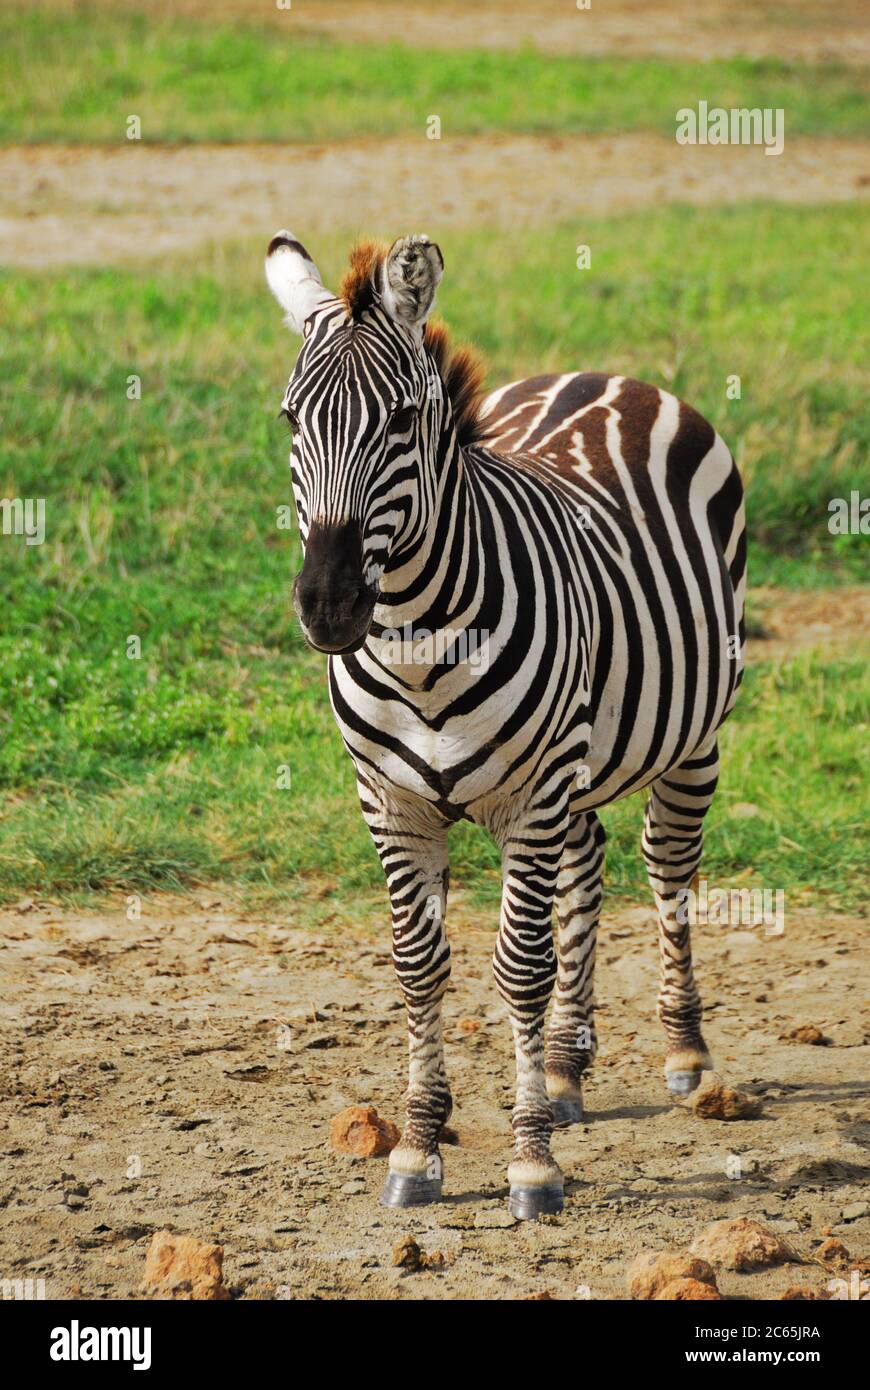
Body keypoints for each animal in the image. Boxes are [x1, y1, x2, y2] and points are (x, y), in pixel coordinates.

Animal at [265, 231, 746, 1219]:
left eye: (403, 421)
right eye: (292, 421)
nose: (328, 607)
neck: (420, 639)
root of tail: (603, 375)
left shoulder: (532, 795)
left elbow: (519, 967)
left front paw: (531, 1166)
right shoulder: (391, 801)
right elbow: (420, 966)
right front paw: (417, 1149)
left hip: (690, 740)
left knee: (668, 870)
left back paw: (684, 1052)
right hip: (580, 767)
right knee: (590, 862)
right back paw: (563, 1068)